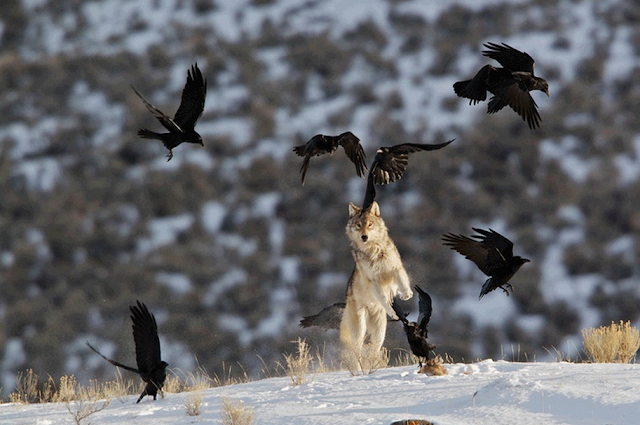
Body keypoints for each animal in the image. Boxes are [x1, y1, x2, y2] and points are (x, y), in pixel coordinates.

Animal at [340, 201, 413, 352]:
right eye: (358, 225)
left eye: (370, 224)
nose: (364, 237)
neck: (375, 251)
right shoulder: (373, 282)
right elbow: (384, 299)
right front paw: (393, 312)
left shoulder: (395, 268)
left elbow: (402, 279)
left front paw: (406, 294)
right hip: (360, 329)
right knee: (357, 349)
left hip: (379, 333)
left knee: (375, 348)